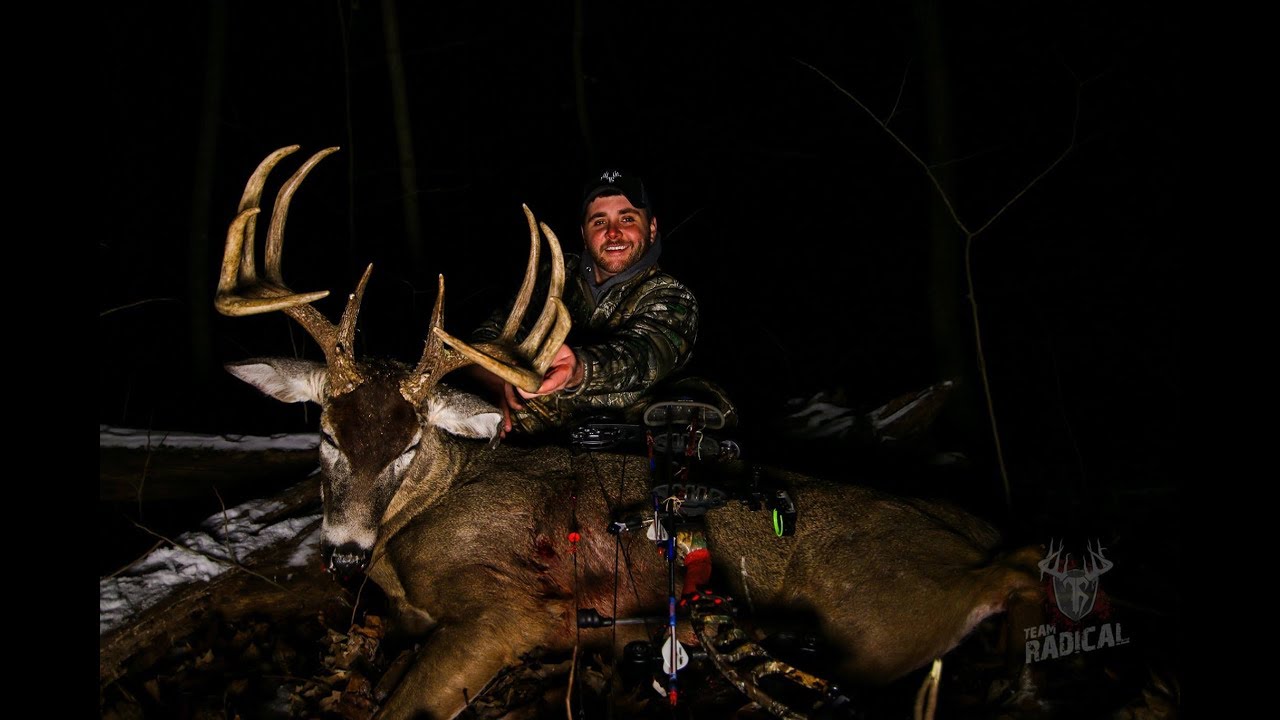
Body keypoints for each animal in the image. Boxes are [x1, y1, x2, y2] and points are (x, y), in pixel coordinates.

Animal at [216, 145, 1046, 719]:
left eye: (412, 442)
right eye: (326, 432)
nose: (345, 552)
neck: (408, 539)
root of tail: (977, 530)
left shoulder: (503, 610)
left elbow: (399, 705)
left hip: (874, 622)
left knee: (1015, 570)